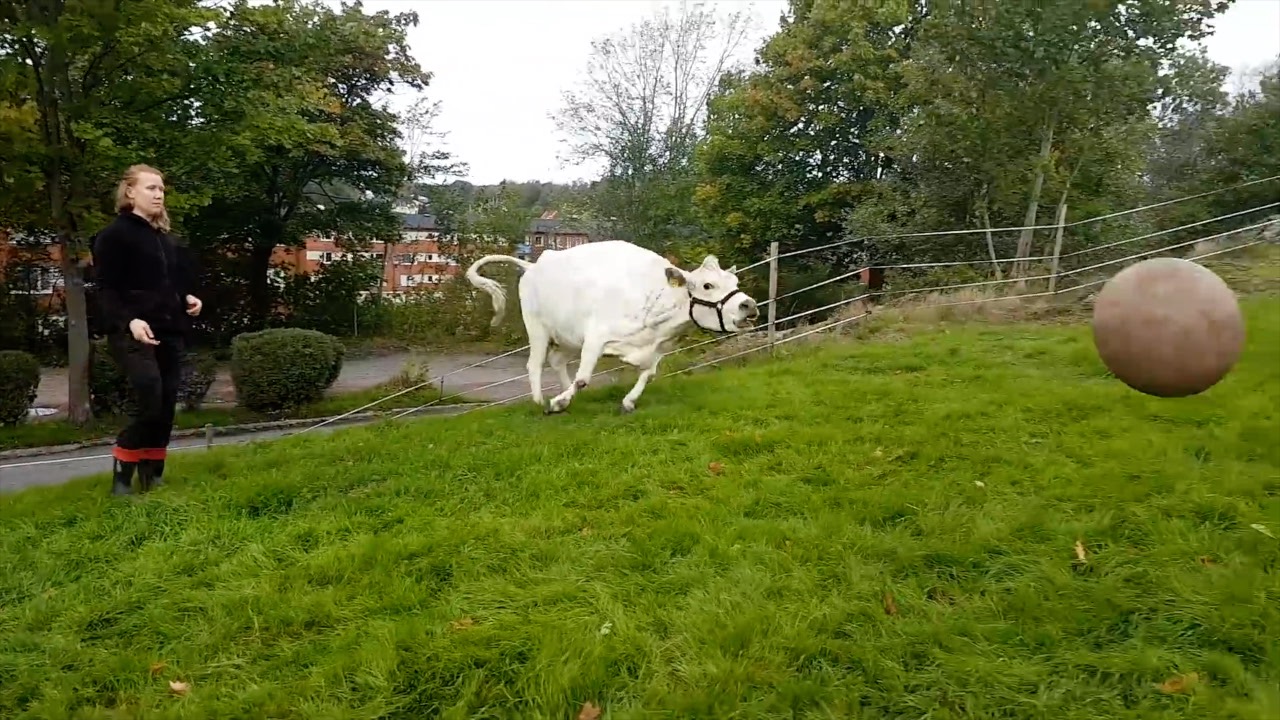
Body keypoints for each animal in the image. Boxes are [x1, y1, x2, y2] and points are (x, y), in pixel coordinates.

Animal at [465, 240, 760, 414]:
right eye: (708, 285)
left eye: (735, 282)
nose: (750, 305)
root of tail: (533, 265)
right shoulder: (596, 337)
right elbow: (583, 378)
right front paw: (558, 402)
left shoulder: (657, 349)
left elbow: (648, 375)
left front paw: (628, 401)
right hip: (537, 327)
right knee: (535, 364)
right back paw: (539, 401)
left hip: (570, 336)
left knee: (557, 360)